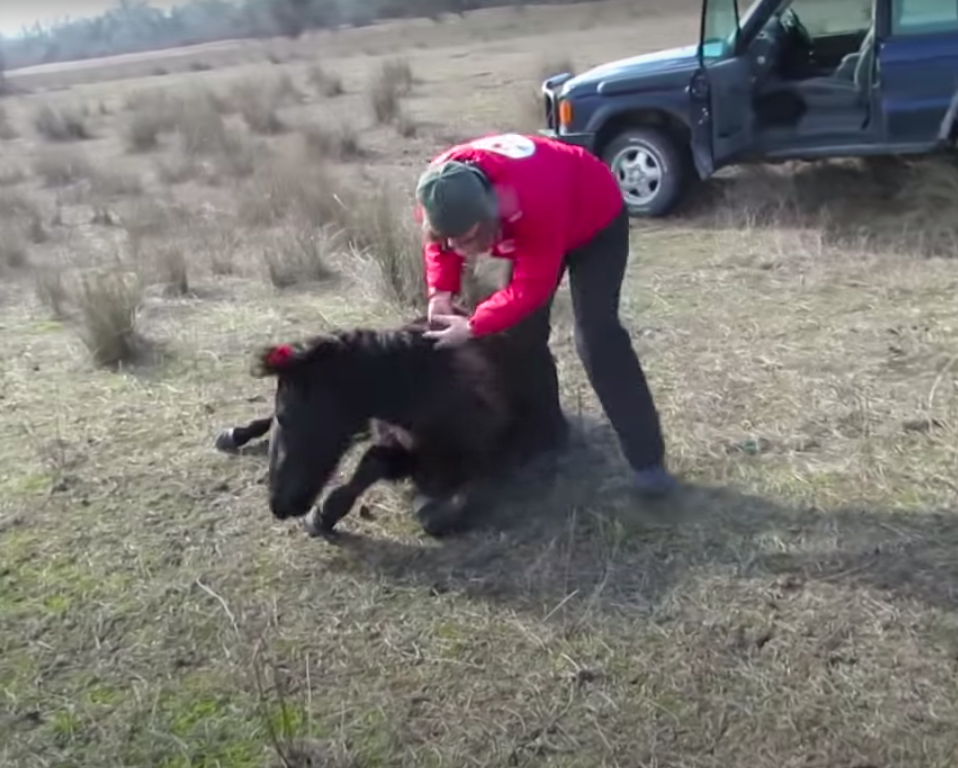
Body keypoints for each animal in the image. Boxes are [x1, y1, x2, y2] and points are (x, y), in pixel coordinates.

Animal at [216, 310, 567, 537]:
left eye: (286, 415)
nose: (279, 505)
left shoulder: (495, 463)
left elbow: (436, 513)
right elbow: (370, 465)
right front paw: (324, 515)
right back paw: (233, 435)